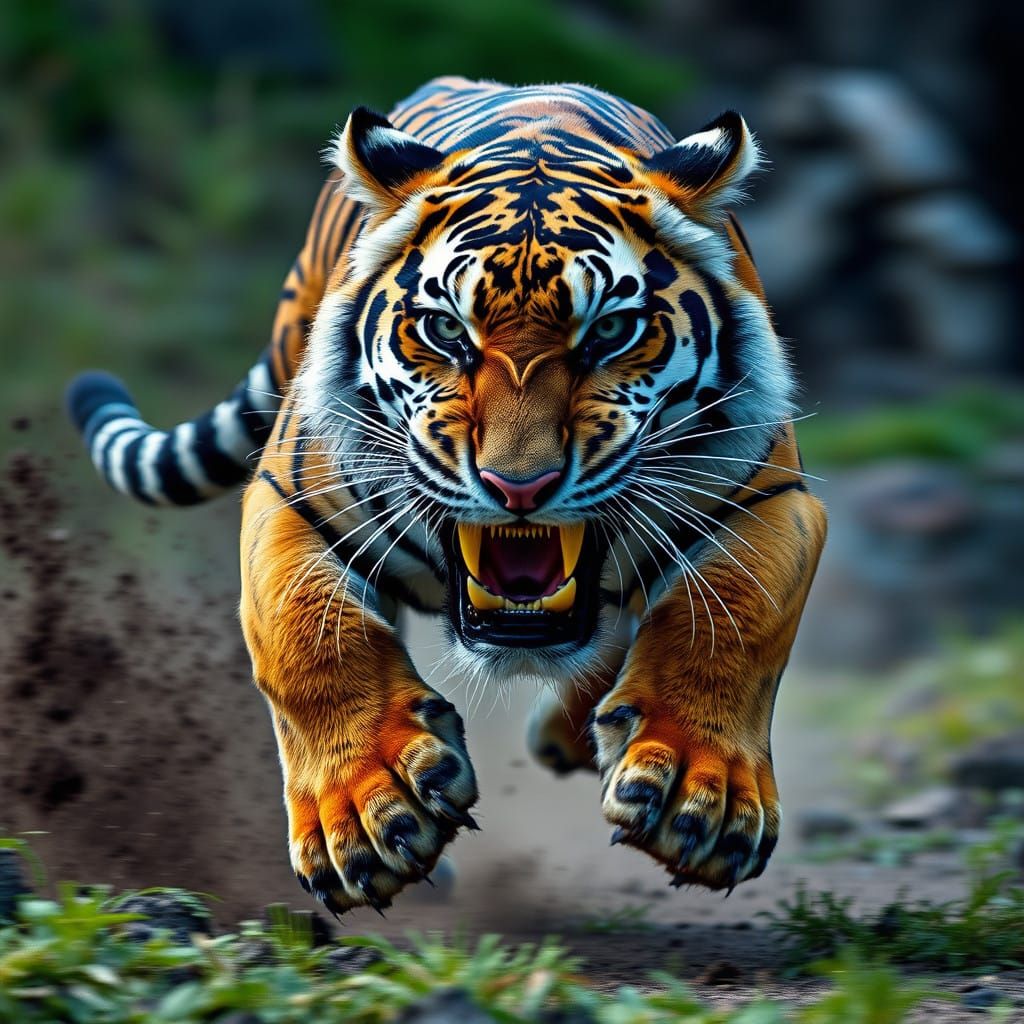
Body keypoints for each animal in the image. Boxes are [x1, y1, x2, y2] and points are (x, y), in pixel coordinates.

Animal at [67, 76, 827, 915]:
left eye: (610, 332)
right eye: (444, 330)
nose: (518, 485)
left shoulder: (772, 498)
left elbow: (729, 623)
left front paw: (702, 797)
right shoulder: (290, 500)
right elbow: (309, 646)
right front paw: (367, 814)